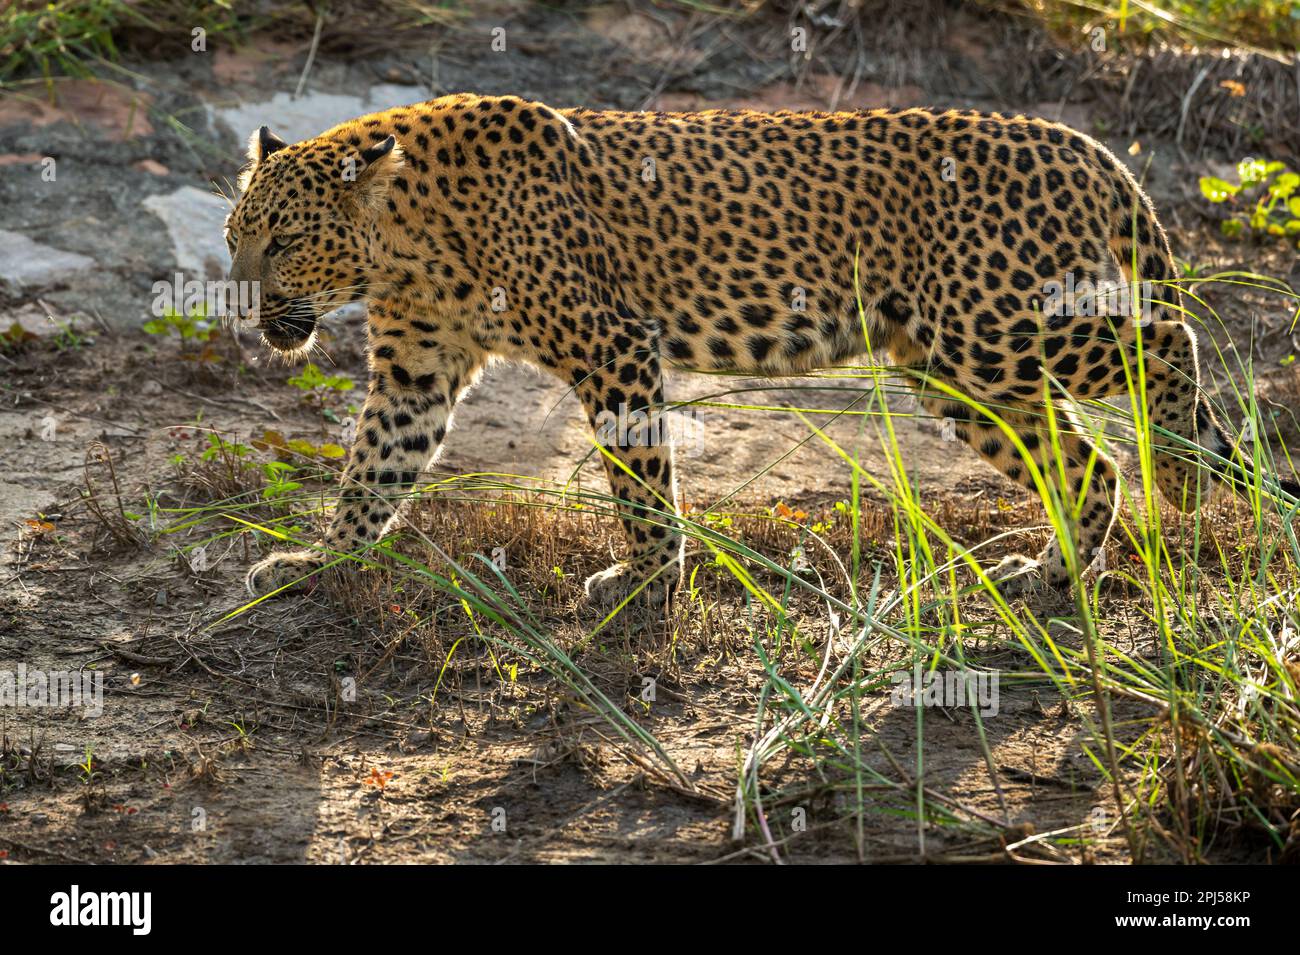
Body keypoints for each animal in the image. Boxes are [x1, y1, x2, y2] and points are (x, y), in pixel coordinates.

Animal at [224, 93, 1298, 608]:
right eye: (238, 237)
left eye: (281, 242)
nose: (239, 301)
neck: (403, 243)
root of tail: (1085, 145)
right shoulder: (416, 369)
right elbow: (375, 467)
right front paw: (321, 559)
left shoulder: (612, 342)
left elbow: (640, 478)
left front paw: (648, 581)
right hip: (951, 363)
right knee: (1085, 459)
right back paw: (1054, 573)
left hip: (994, 325)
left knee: (1170, 343)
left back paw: (1184, 474)